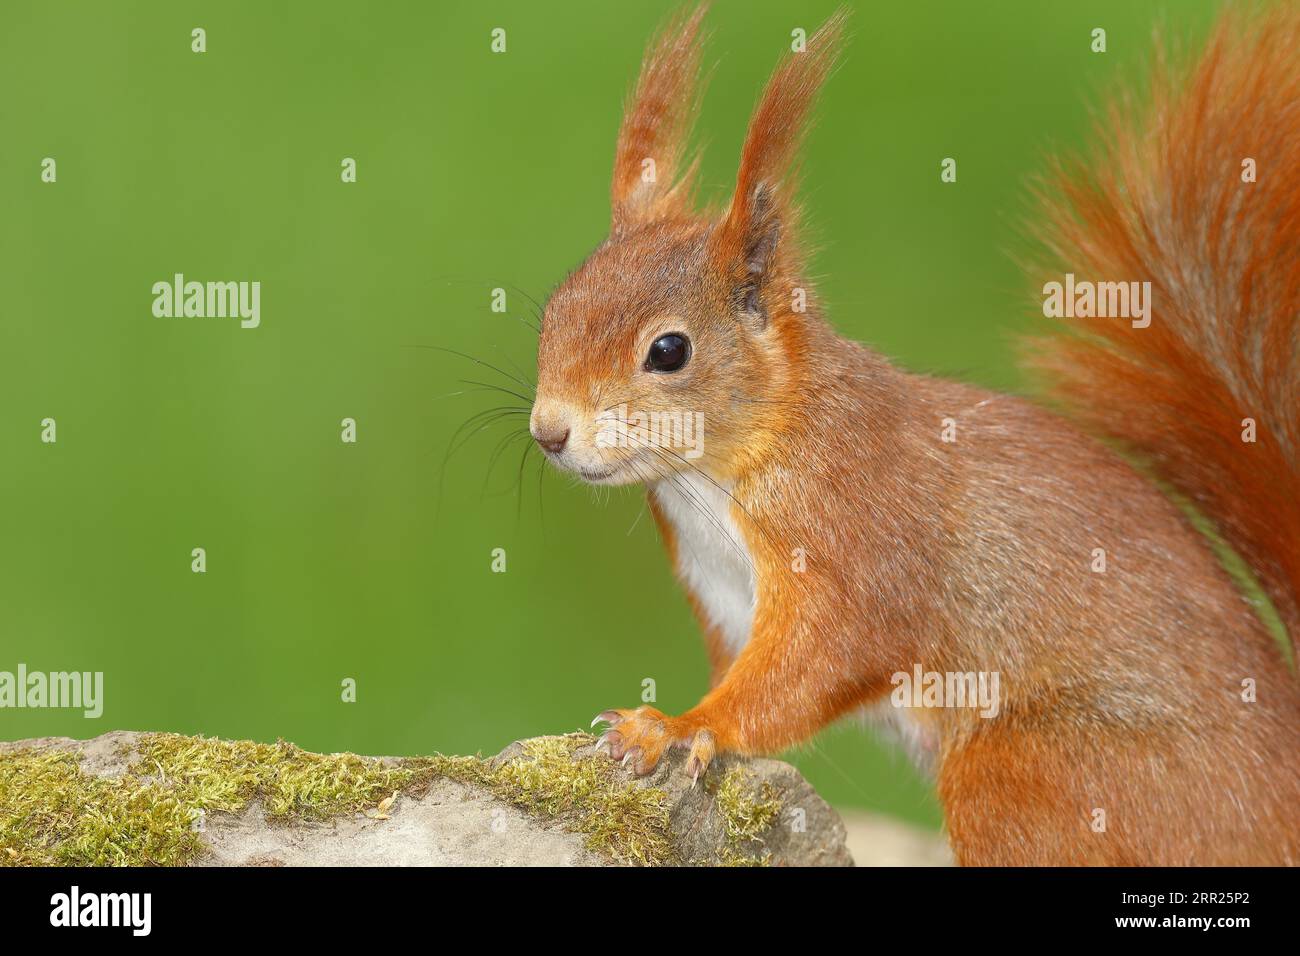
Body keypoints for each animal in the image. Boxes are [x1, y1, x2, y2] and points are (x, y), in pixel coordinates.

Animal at [526, 4, 1300, 865]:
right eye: (555, 308)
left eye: (669, 351)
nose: (548, 432)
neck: (724, 470)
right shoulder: (721, 596)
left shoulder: (853, 543)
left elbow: (813, 666)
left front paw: (674, 727)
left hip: (1038, 773)